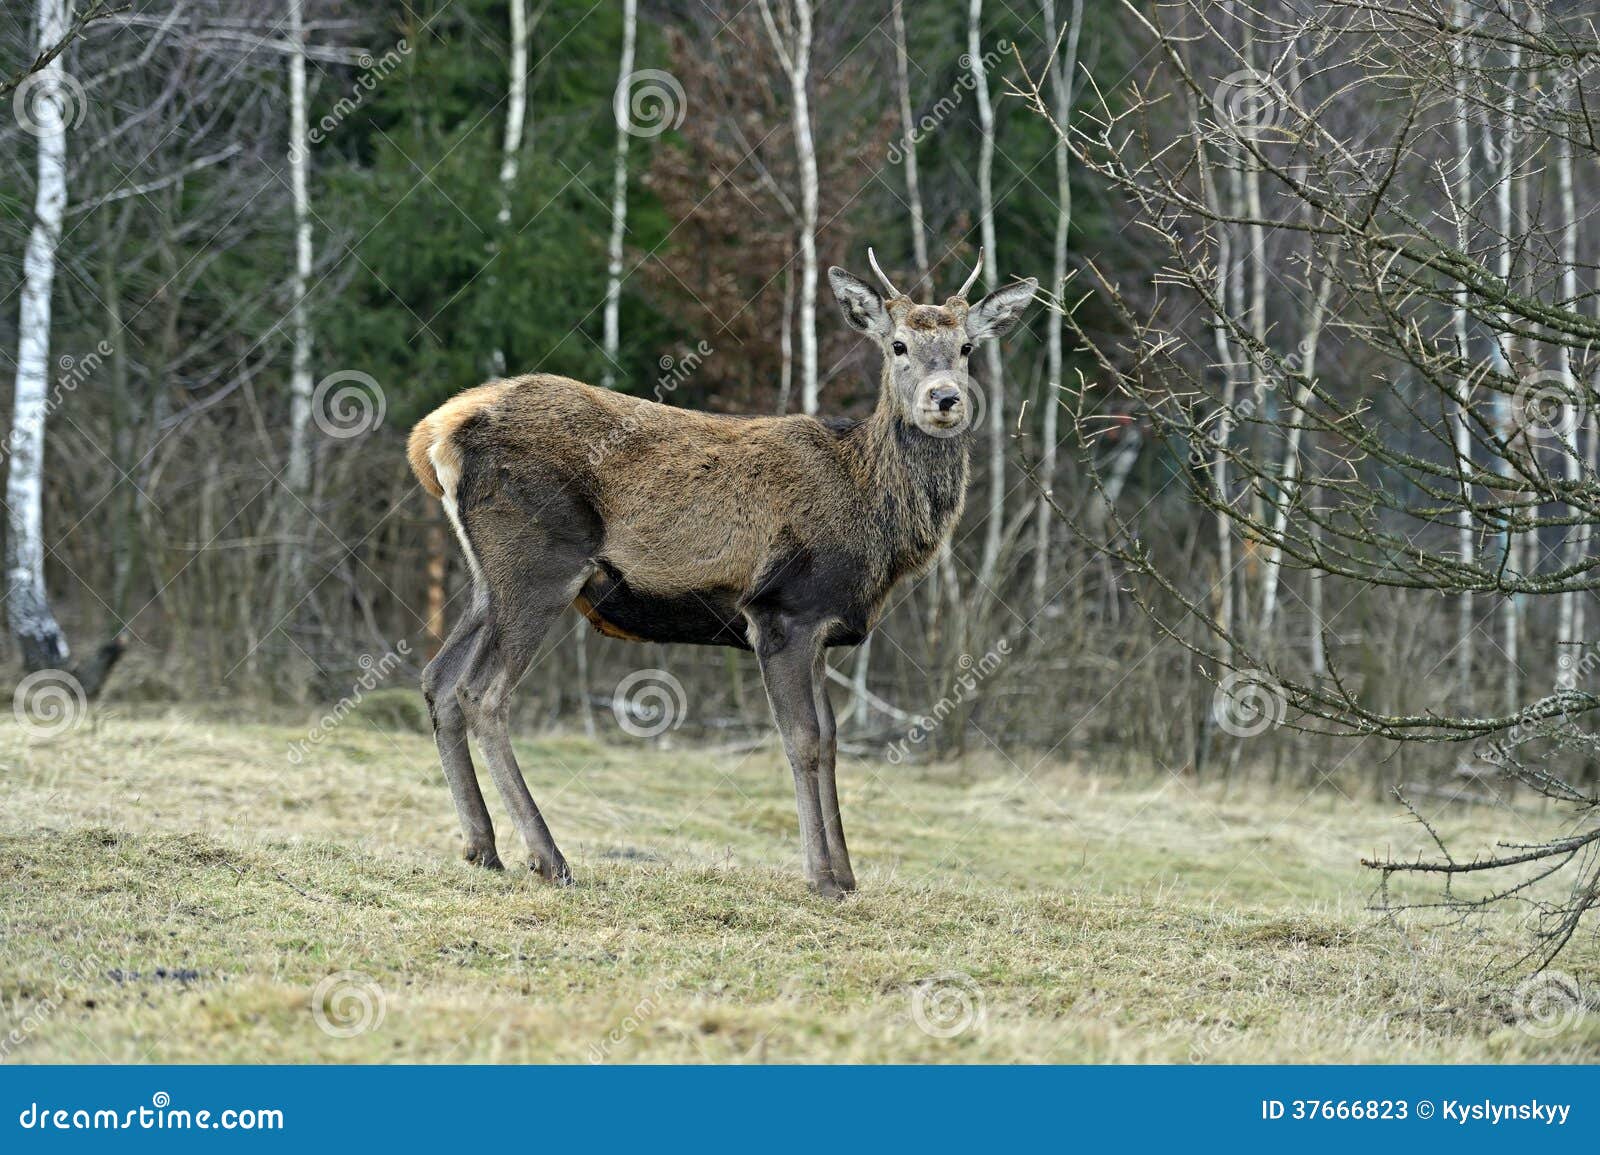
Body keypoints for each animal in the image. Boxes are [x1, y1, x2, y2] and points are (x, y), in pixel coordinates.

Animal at [407, 251, 1037, 898]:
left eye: (966, 348)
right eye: (899, 345)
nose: (945, 398)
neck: (875, 522)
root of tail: (435, 432)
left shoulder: (821, 629)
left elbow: (833, 739)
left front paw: (847, 874)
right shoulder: (783, 610)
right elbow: (803, 740)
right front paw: (821, 878)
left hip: (489, 580)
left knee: (439, 679)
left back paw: (483, 848)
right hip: (540, 562)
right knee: (482, 692)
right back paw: (548, 857)